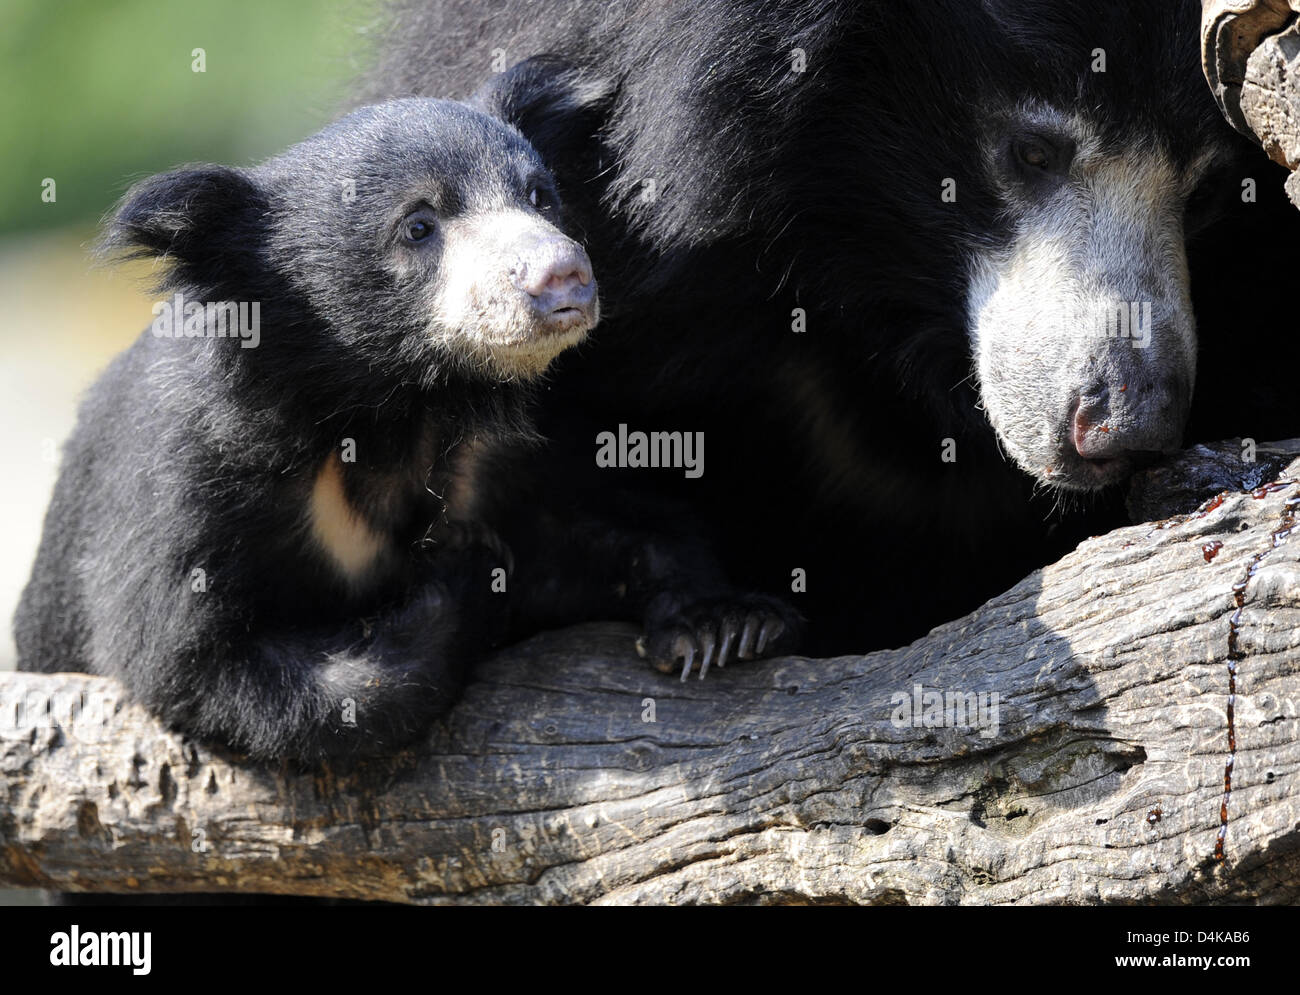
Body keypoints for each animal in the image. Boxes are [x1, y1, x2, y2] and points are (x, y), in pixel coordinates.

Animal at [14, 92, 601, 762]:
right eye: (418, 225)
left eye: (539, 196)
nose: (562, 274)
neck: (387, 405)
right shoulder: (187, 472)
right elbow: (193, 659)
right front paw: (465, 573)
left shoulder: (487, 463)